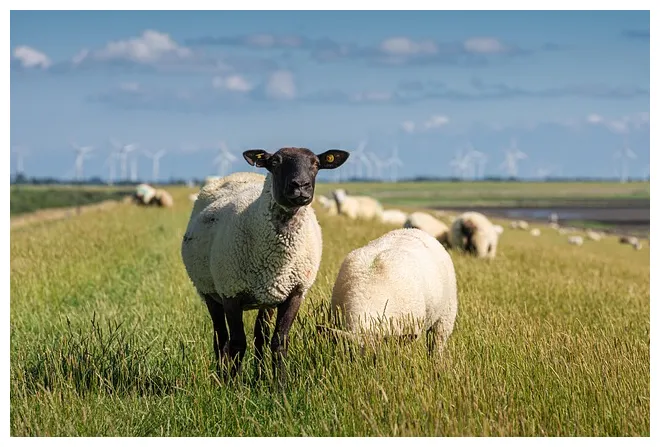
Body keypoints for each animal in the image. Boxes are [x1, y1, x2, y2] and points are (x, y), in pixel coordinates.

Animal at [181, 147, 349, 385]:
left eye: (316, 163)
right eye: (275, 162)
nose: (301, 185)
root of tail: (237, 174)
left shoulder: (294, 293)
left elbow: (279, 341)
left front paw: (280, 385)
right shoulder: (231, 292)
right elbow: (237, 343)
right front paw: (232, 386)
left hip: (267, 297)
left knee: (260, 337)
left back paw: (259, 376)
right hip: (209, 291)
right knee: (221, 338)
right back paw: (222, 376)